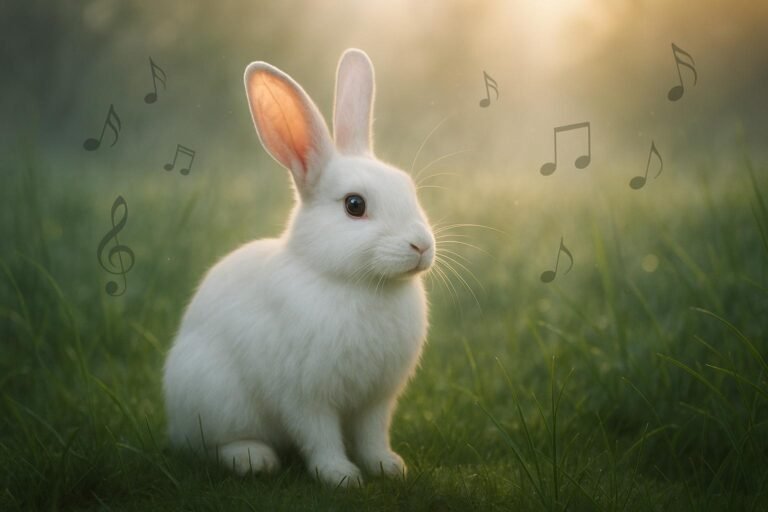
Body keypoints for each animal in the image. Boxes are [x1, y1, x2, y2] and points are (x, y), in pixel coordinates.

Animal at [163, 48, 435, 487]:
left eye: (408, 188)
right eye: (354, 205)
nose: (422, 246)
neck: (356, 284)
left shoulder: (375, 399)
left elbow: (372, 435)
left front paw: (388, 467)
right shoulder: (305, 396)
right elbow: (319, 437)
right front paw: (340, 476)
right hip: (216, 400)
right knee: (211, 445)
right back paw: (253, 458)